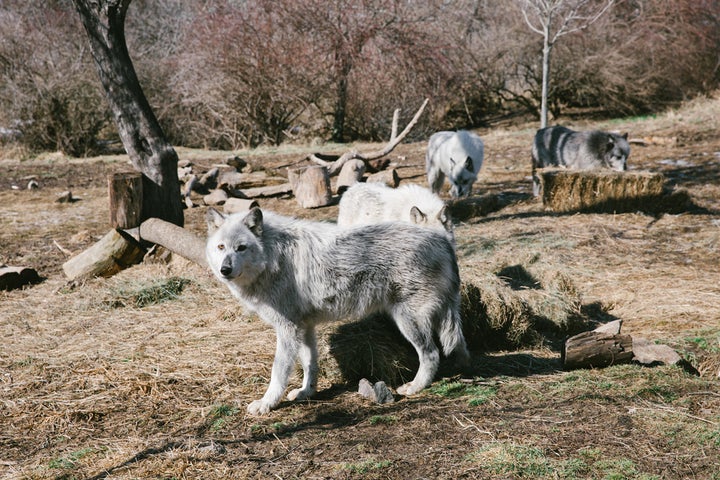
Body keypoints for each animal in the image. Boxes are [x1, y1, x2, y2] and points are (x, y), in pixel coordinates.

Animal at [206, 207, 470, 415]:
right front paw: (306, 392)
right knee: (456, 345)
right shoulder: (305, 328)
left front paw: (266, 404)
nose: (224, 270)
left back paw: (415, 387)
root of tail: (442, 239)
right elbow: (310, 364)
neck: (275, 256)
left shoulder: (287, 329)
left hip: (408, 321)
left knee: (431, 354)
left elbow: (277, 373)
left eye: (241, 248)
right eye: (221, 247)